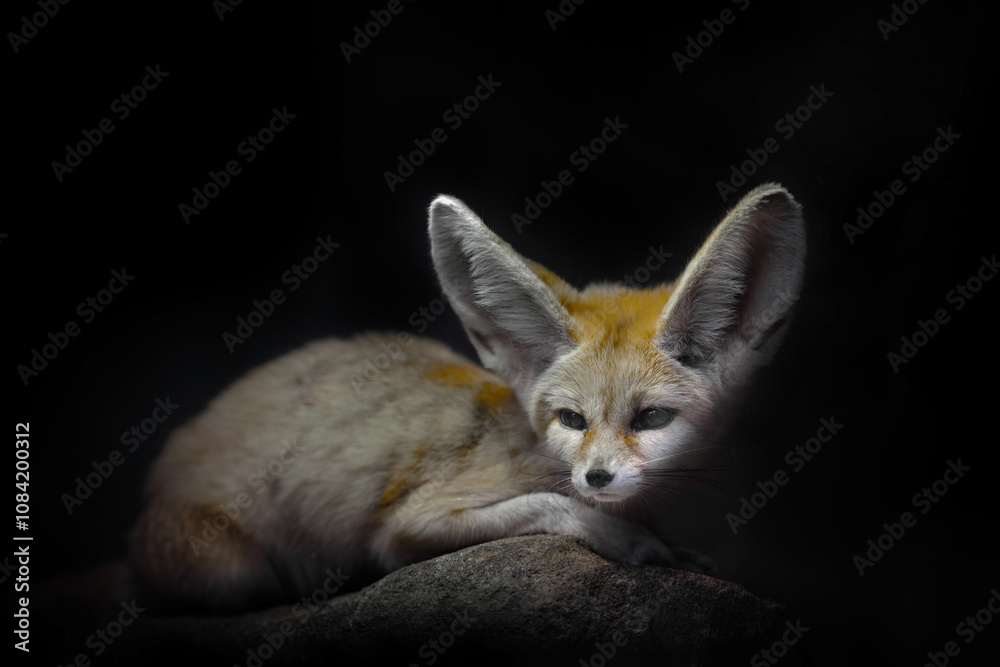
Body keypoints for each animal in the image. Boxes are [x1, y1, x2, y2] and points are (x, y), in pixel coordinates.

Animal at [129, 182, 806, 612]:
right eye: (571, 419)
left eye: (652, 418)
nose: (597, 477)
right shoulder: (408, 526)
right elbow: (550, 506)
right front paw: (626, 540)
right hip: (231, 571)